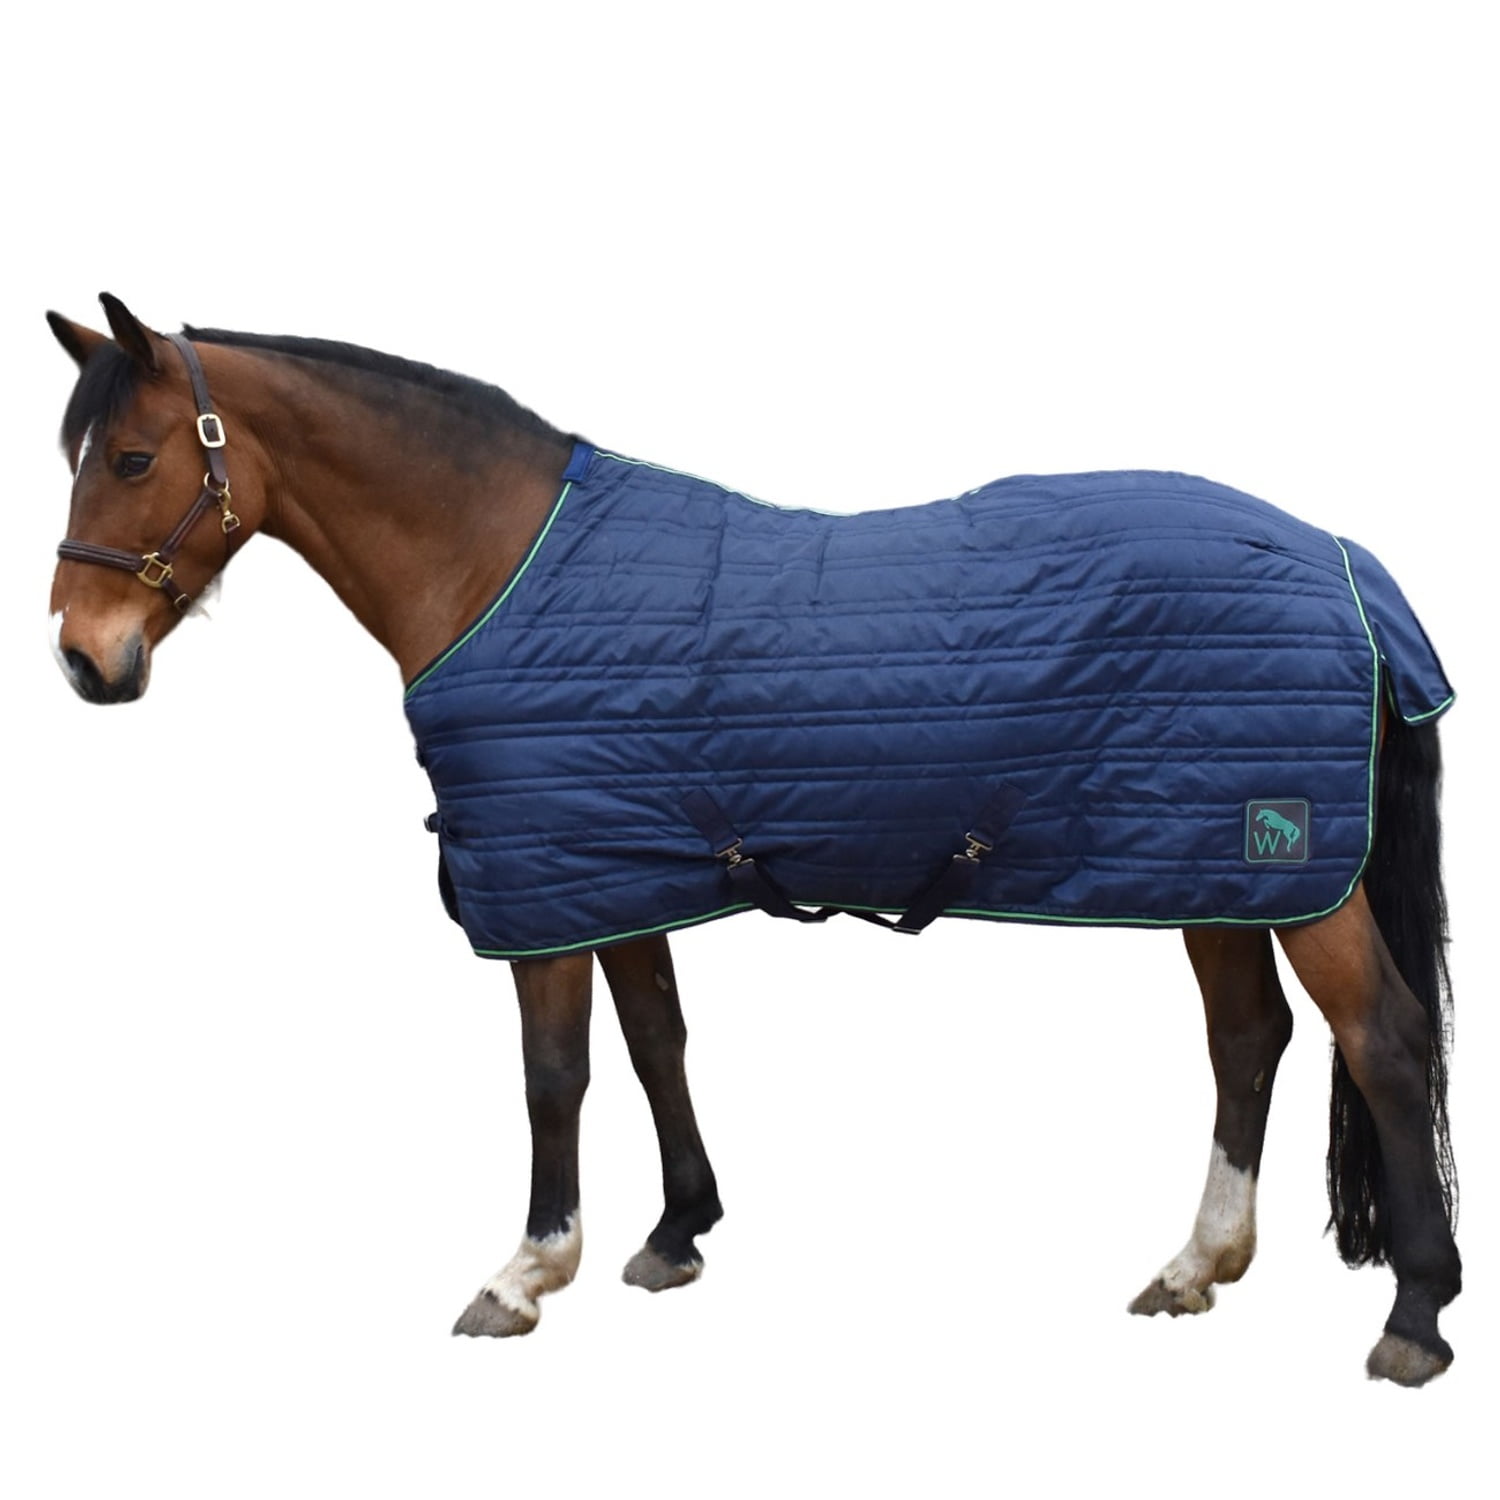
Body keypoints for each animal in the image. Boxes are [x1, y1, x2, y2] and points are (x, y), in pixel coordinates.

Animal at [46, 294, 1461, 1385]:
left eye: (131, 460)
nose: (82, 661)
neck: (499, 566)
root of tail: (1343, 560)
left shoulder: (544, 889)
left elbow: (554, 1075)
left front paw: (526, 1272)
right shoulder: (614, 869)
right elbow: (656, 1042)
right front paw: (678, 1232)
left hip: (1285, 870)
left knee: (1384, 1043)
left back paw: (1415, 1315)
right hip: (1212, 869)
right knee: (1250, 1040)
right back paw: (1198, 1263)